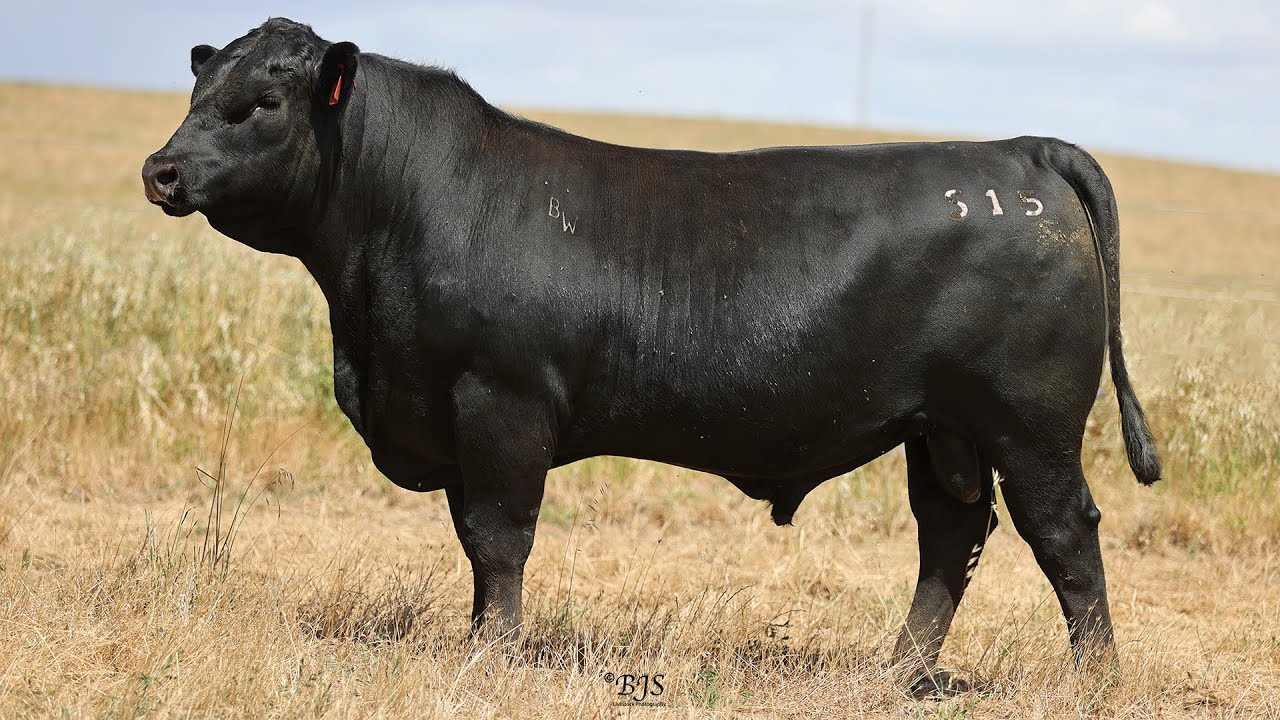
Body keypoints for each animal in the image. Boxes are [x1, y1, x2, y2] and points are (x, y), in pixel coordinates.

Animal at [142, 18, 1161, 696]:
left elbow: (500, 538)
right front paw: (481, 642)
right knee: (952, 536)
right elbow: (474, 544)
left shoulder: (501, 402)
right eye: (196, 94)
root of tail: (1023, 151)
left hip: (1027, 423)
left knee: (1064, 536)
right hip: (942, 429)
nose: (161, 169)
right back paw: (894, 675)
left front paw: (494, 657)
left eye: (263, 103)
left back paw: (1094, 684)